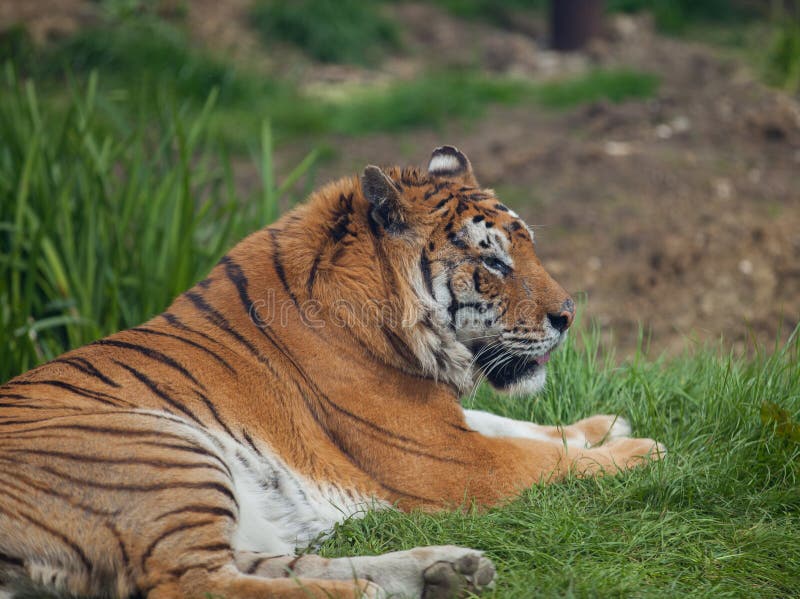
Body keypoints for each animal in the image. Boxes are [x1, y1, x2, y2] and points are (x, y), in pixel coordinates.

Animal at [0, 146, 665, 599]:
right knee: (189, 582)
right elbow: (545, 460)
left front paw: (605, 426)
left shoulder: (445, 423)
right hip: (160, 452)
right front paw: (642, 453)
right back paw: (370, 590)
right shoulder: (448, 459)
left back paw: (443, 569)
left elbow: (517, 427)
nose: (569, 316)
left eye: (528, 245)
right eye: (494, 261)